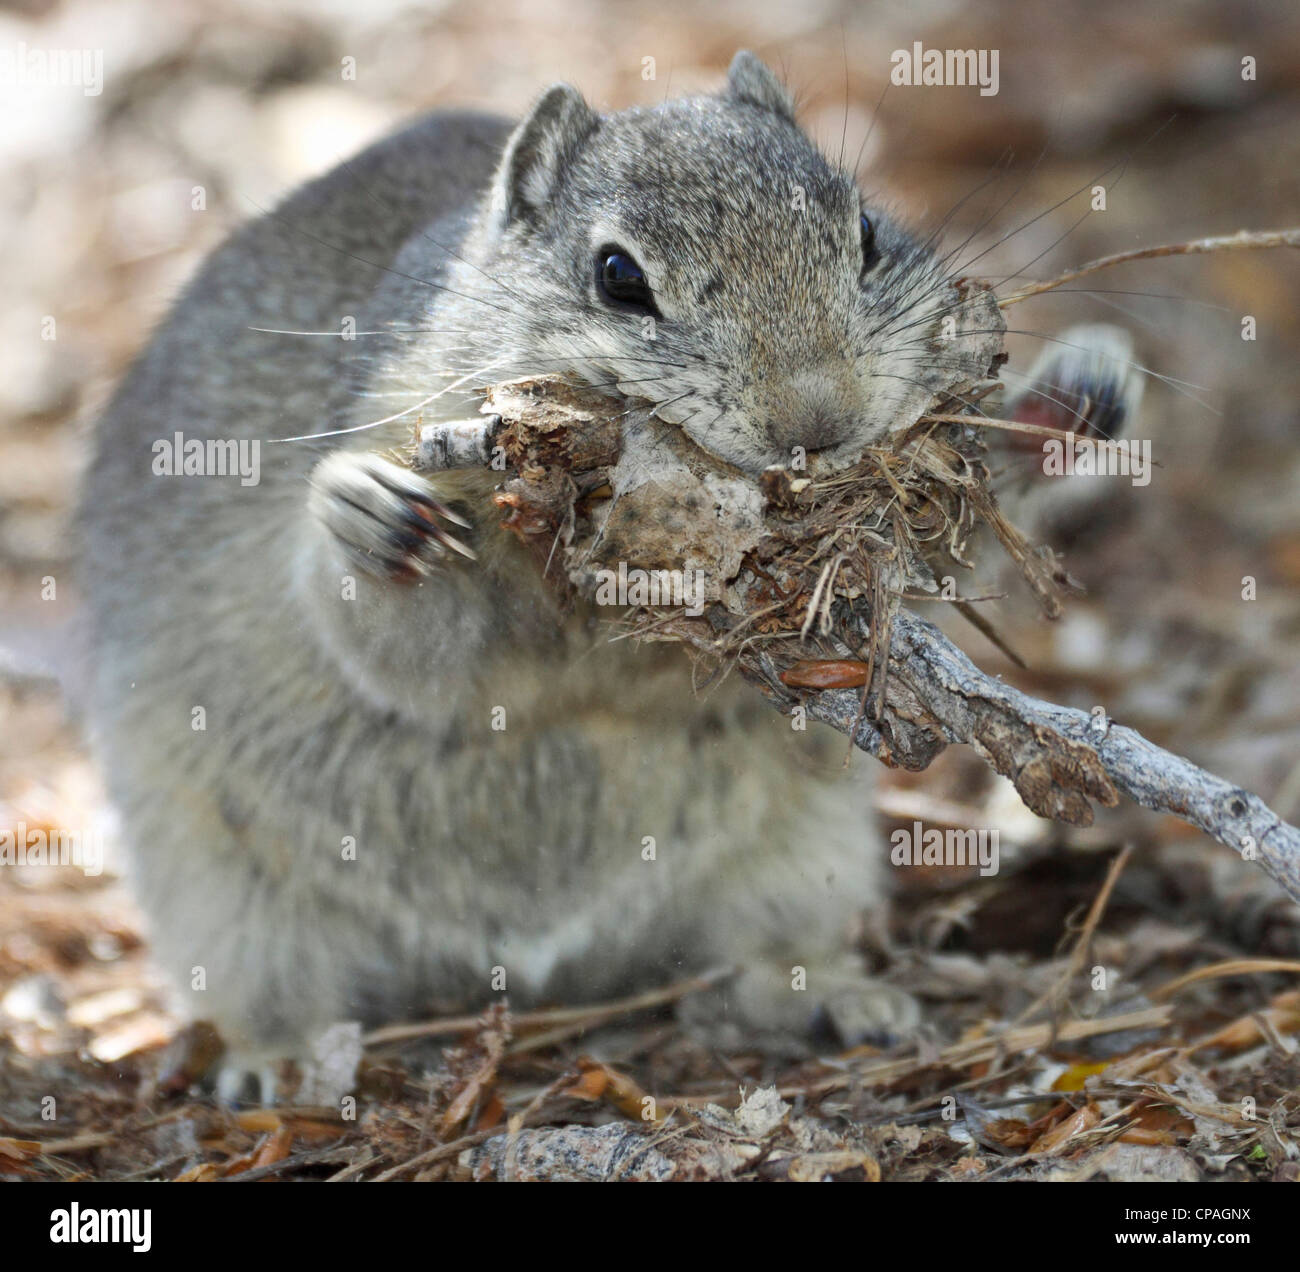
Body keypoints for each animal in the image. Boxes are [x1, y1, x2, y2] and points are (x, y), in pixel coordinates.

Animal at [78, 52, 1007, 1100]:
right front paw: (369, 514)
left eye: (867, 235)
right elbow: (412, 654)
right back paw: (274, 1059)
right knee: (268, 989)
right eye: (618, 277)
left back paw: (838, 997)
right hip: (222, 895)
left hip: (804, 856)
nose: (819, 420)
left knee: (764, 960)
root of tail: (535, 971)